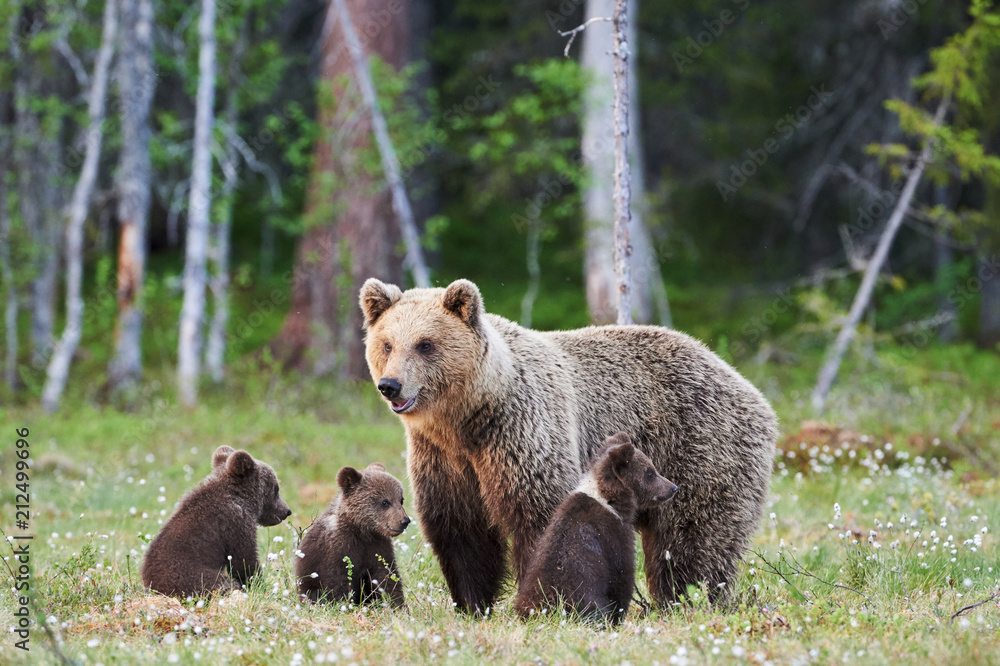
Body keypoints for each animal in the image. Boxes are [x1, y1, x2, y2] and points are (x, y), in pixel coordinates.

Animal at [141, 446, 292, 597]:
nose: (287, 511)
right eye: (276, 488)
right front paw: (259, 585)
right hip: (191, 575)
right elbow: (244, 558)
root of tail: (155, 589)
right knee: (222, 583)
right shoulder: (235, 523)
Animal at [295, 463, 410, 607]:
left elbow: (386, 574)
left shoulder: (378, 545)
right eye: (385, 502)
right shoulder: (339, 547)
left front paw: (397, 604)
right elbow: (338, 580)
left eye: (401, 500)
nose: (404, 521)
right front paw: (344, 604)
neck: (362, 531)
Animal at [514, 433, 678, 624]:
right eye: (650, 472)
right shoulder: (613, 537)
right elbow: (621, 577)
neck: (610, 501)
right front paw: (619, 616)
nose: (673, 487)